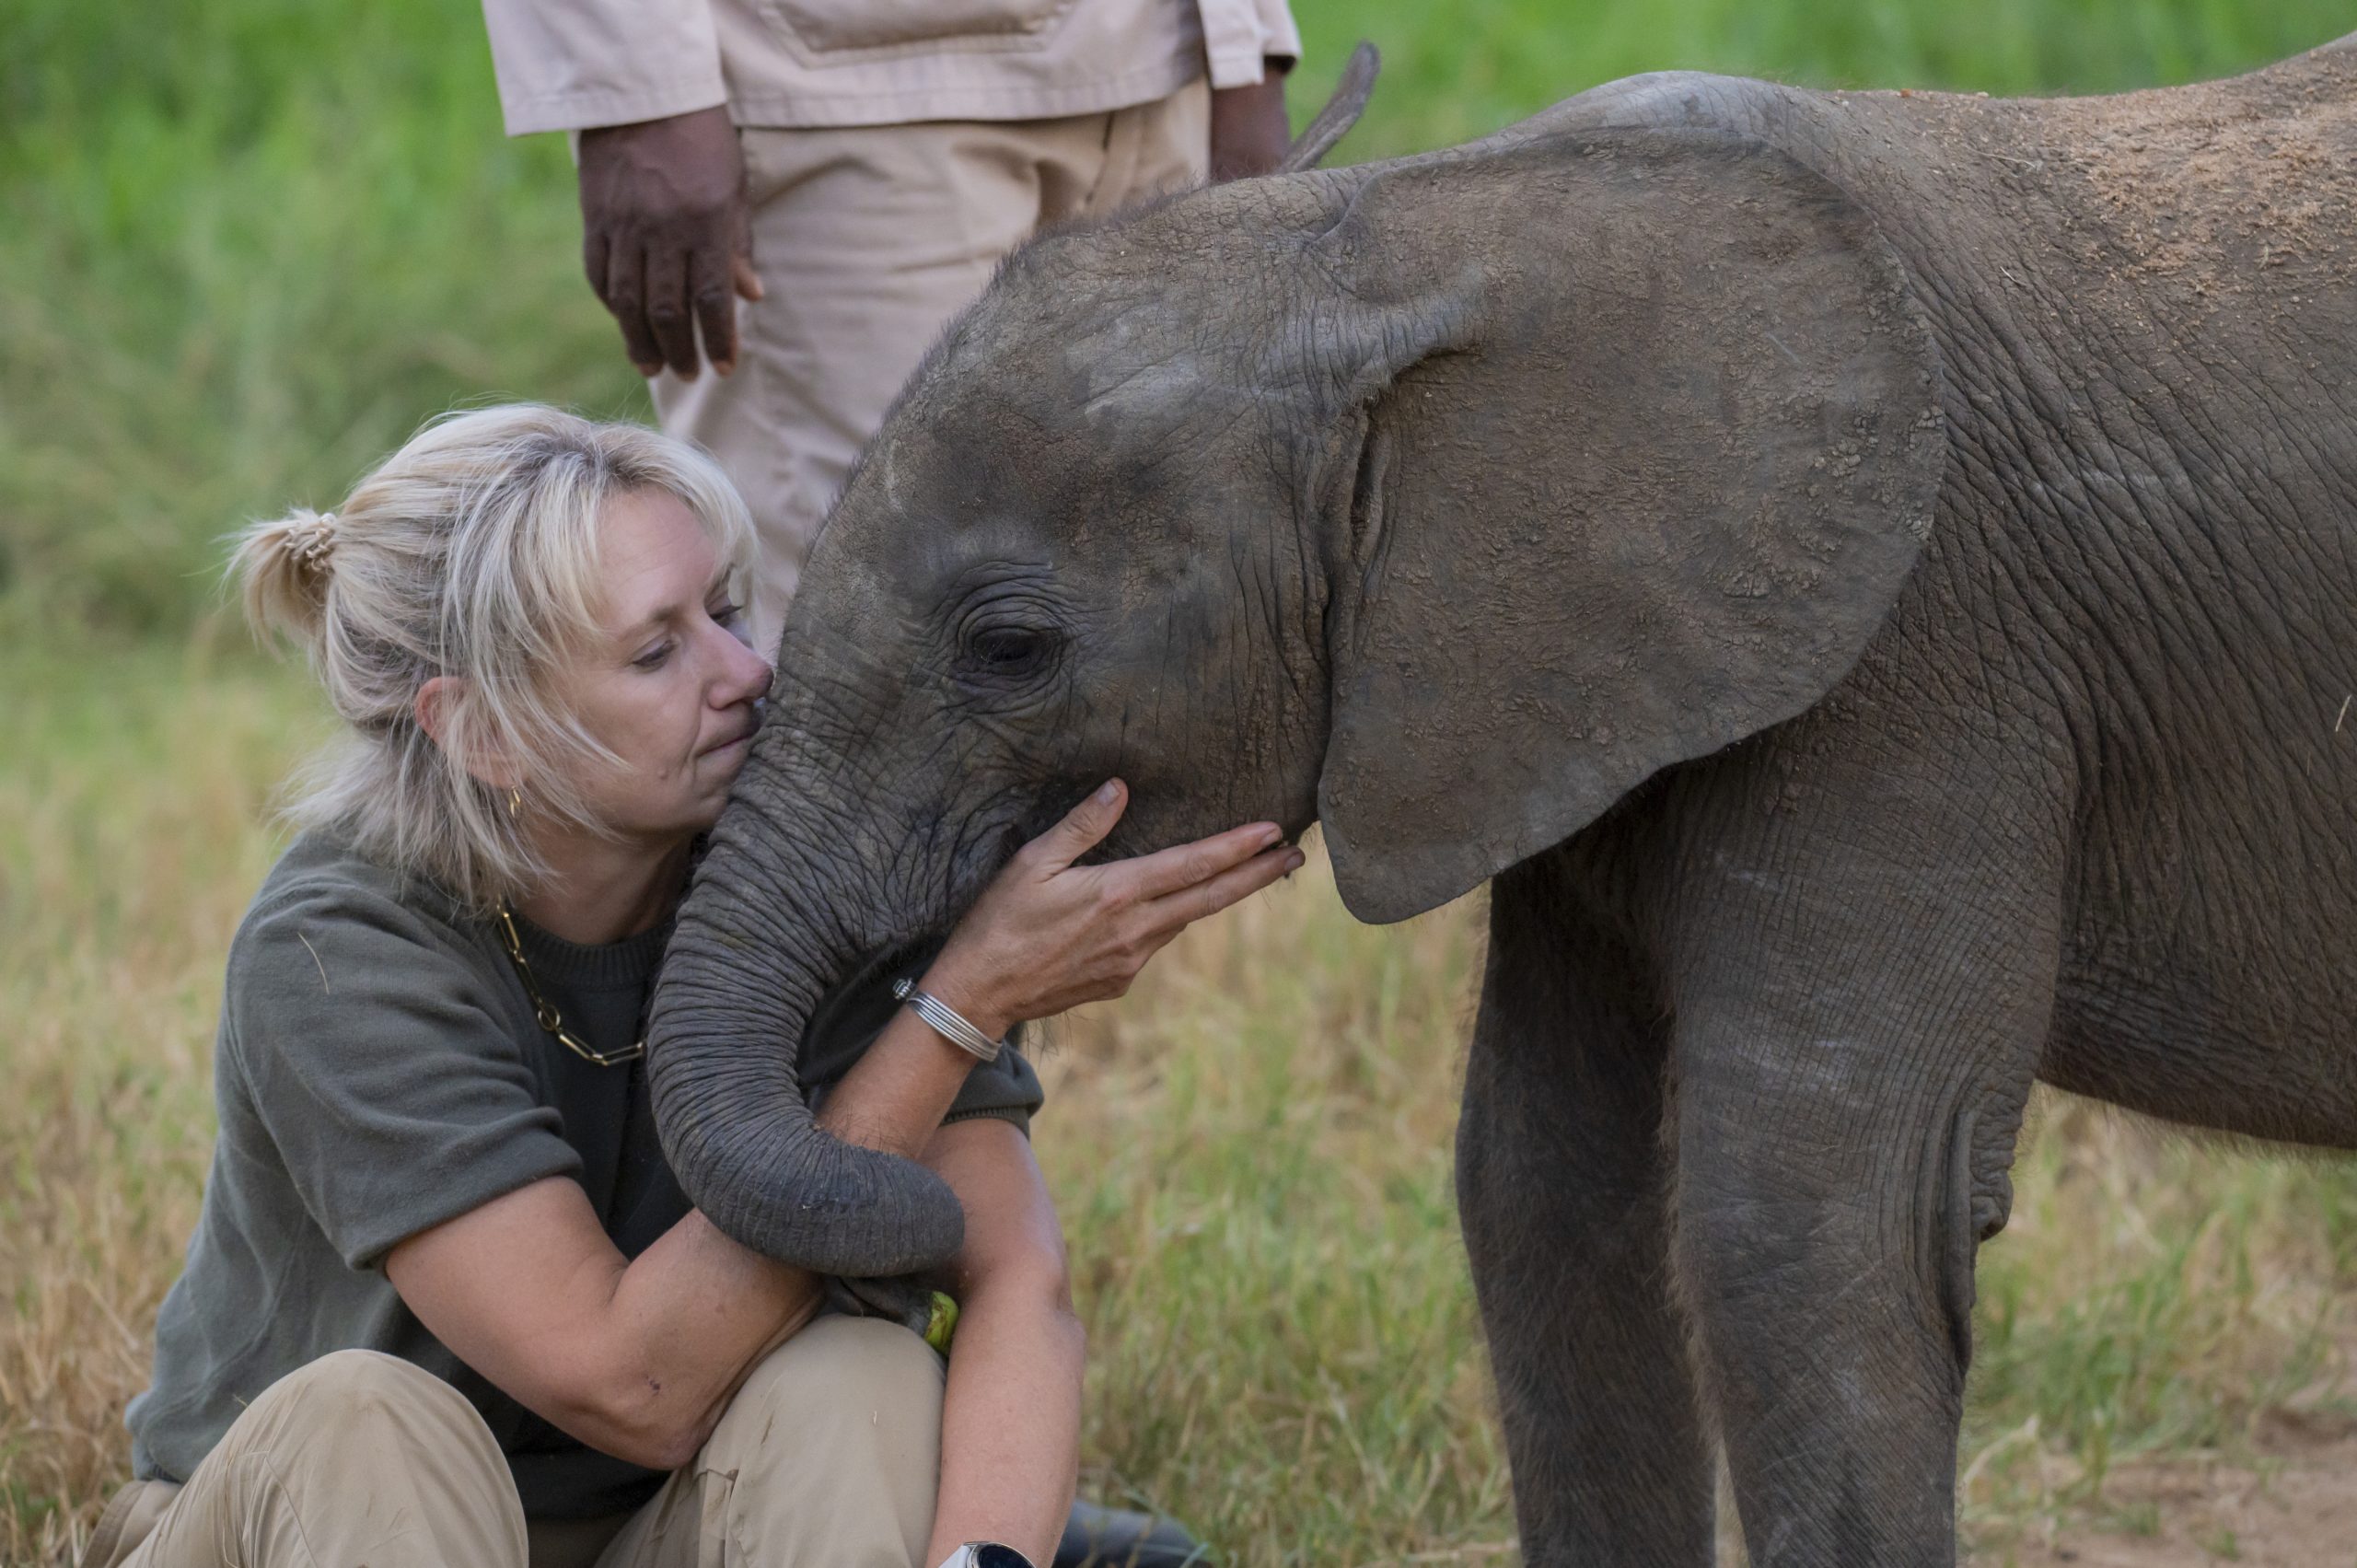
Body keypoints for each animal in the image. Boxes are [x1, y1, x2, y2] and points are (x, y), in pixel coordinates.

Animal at [645, 31, 2357, 1566]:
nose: (924, 1256)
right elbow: (1541, 1187)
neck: (1421, 230)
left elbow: (1808, 1221)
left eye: (1009, 648)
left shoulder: (1917, 655)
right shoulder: (1570, 682)